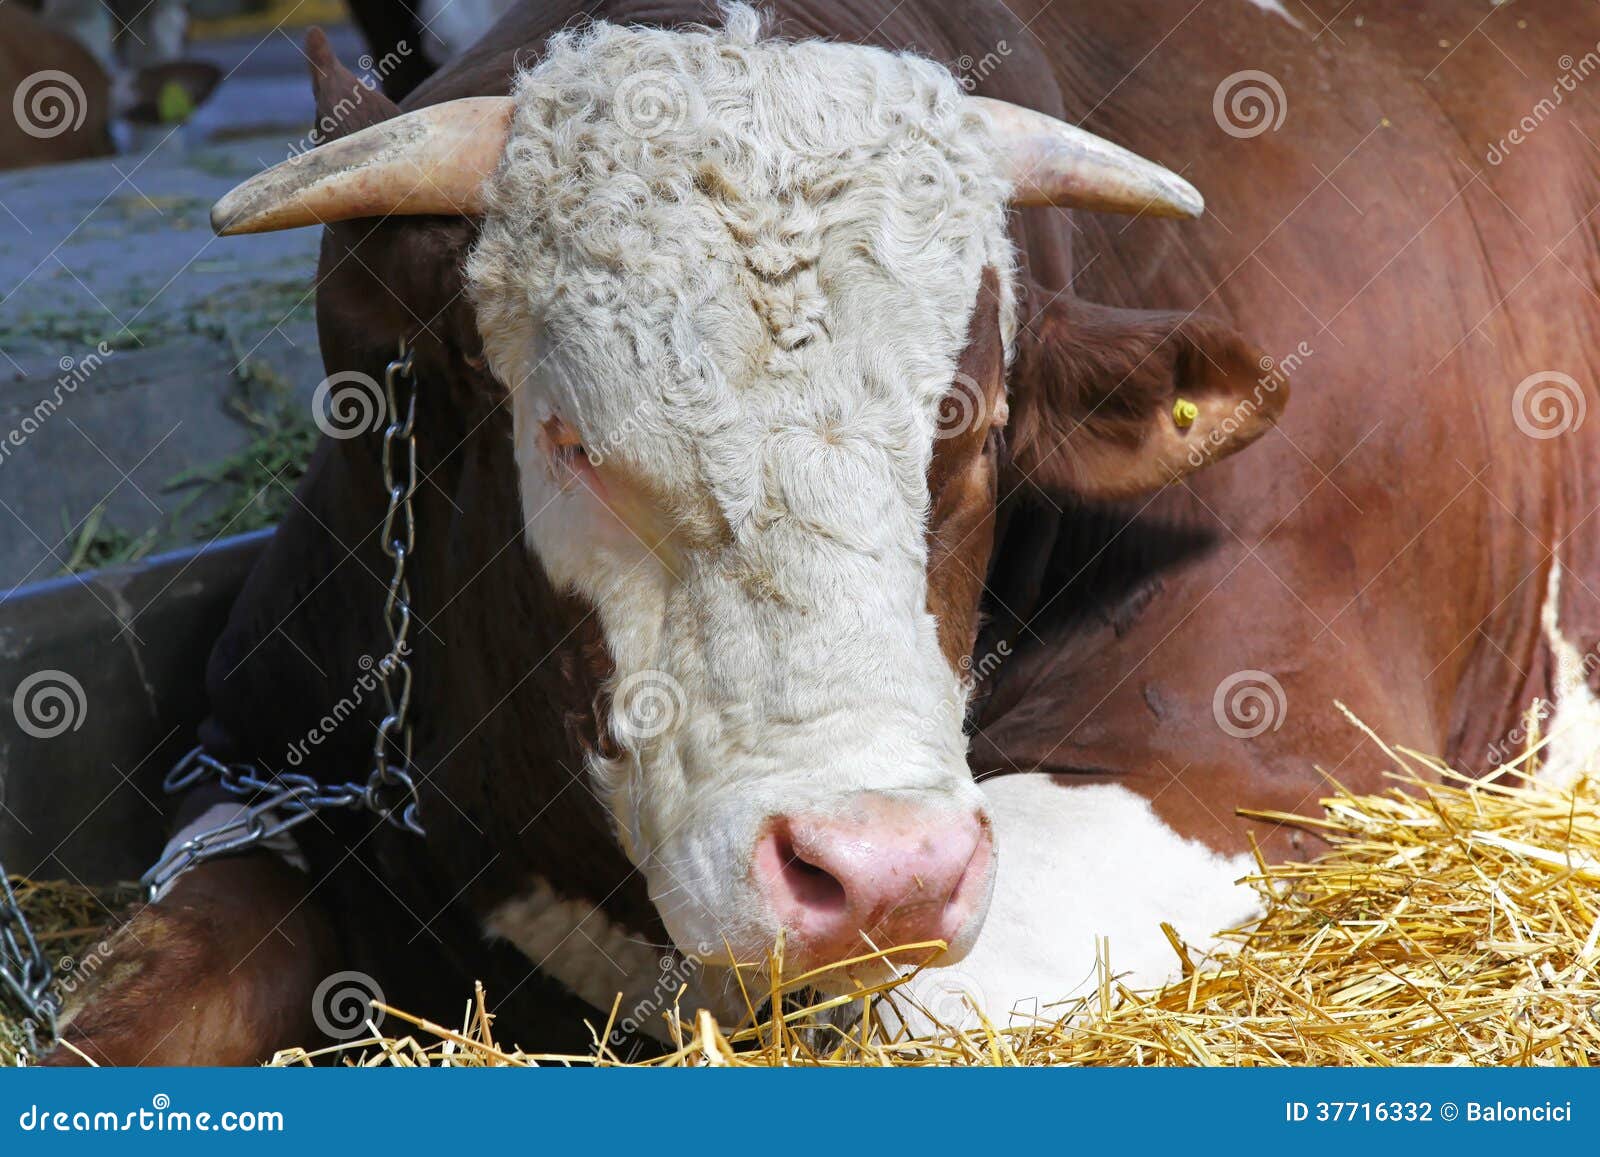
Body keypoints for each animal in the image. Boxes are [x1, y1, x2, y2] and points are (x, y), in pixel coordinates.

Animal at [41, 0, 1600, 1063]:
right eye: (569, 438)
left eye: (972, 431)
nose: (880, 871)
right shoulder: (259, 760)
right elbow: (128, 1008)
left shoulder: (1258, 748)